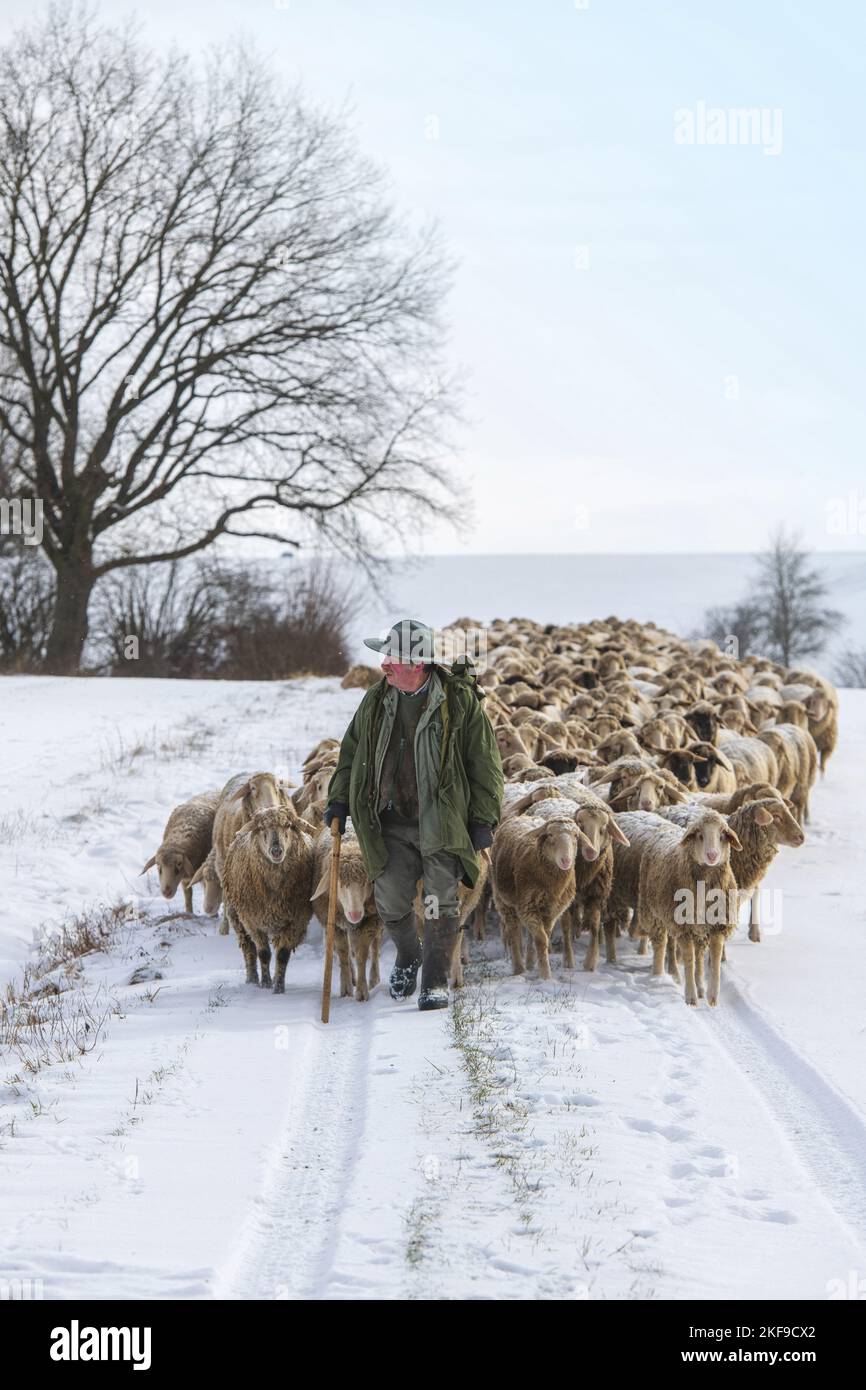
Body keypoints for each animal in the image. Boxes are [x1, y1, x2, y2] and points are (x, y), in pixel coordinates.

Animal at [222, 806, 315, 992]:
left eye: (288, 825)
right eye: (261, 828)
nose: (276, 851)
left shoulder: (296, 920)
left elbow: (282, 955)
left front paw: (279, 987)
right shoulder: (252, 921)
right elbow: (264, 954)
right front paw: (265, 983)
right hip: (236, 916)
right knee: (248, 949)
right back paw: (252, 978)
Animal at [310, 826, 382, 1001]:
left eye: (366, 882)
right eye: (339, 884)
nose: (355, 914)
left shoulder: (370, 921)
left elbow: (362, 954)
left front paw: (362, 991)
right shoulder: (334, 925)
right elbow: (343, 953)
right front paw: (346, 988)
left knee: (375, 946)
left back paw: (374, 979)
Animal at [637, 809, 742, 1007]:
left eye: (722, 835)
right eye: (700, 835)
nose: (712, 855)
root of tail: (664, 827)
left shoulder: (718, 925)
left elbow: (715, 958)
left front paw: (712, 996)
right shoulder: (683, 927)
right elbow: (688, 959)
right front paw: (690, 997)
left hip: (699, 928)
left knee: (699, 954)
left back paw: (700, 986)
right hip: (653, 913)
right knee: (661, 943)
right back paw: (658, 975)